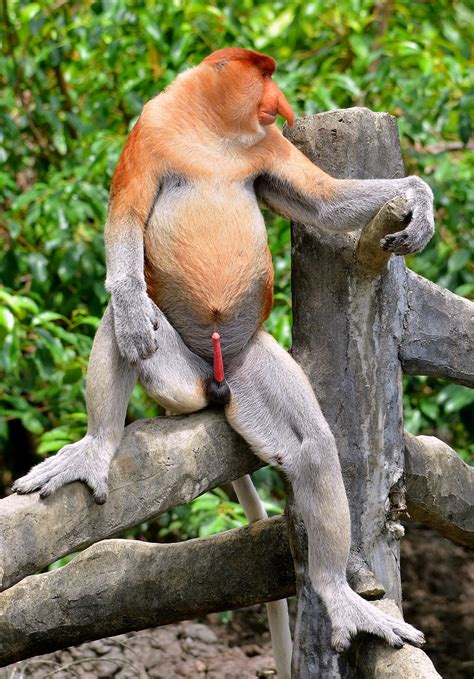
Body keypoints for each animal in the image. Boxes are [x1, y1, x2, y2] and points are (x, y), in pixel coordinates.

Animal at [13, 47, 433, 668]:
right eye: (266, 74)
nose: (279, 102)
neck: (212, 131)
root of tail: (214, 382)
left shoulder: (268, 146)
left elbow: (324, 203)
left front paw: (416, 200)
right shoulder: (150, 131)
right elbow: (125, 217)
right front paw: (132, 308)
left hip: (248, 361)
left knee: (312, 444)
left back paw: (338, 594)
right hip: (176, 375)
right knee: (121, 314)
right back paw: (97, 442)